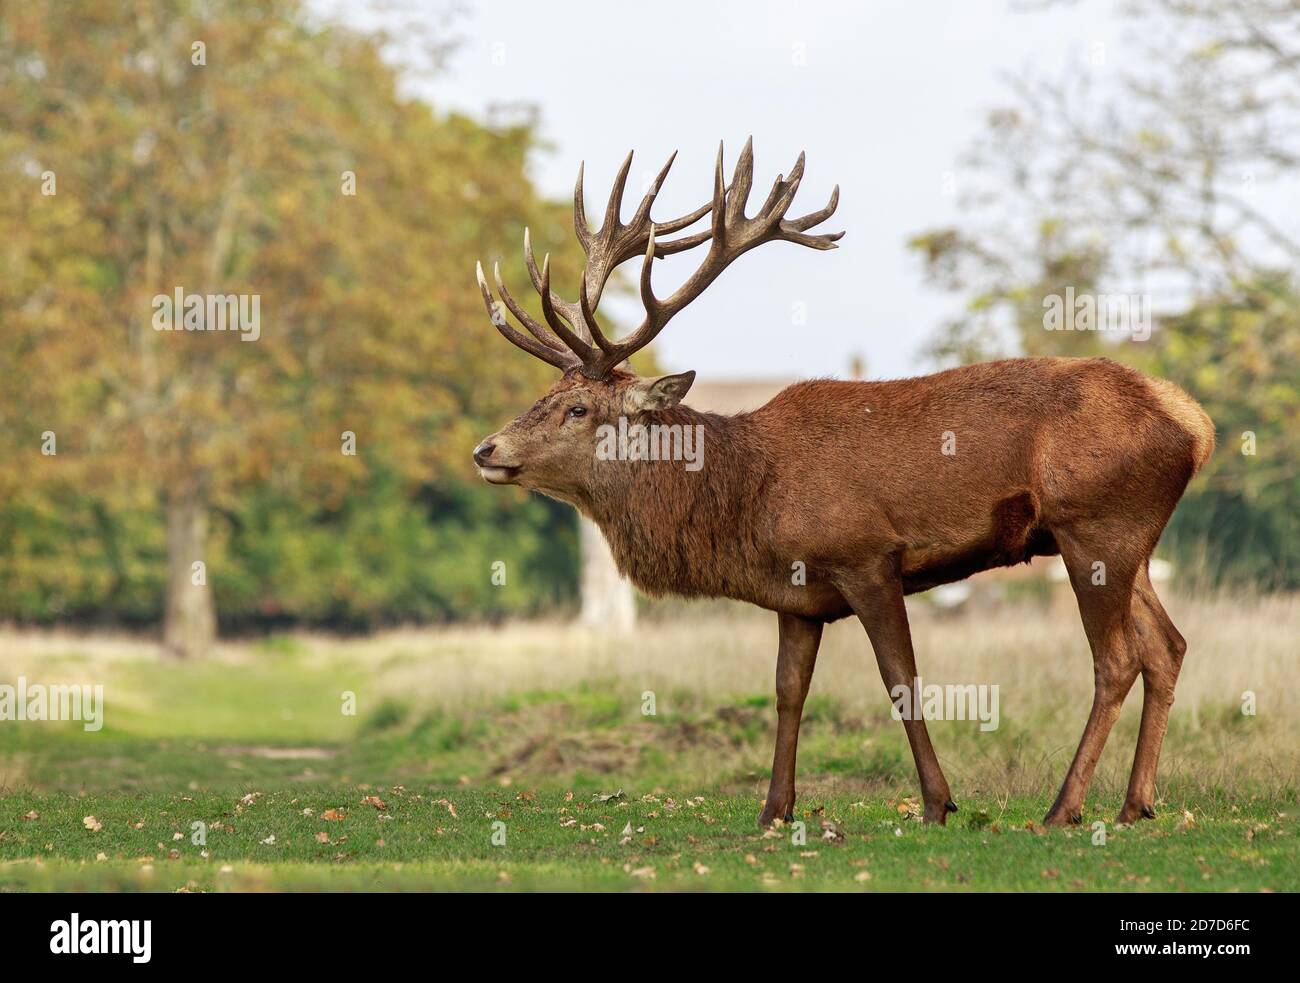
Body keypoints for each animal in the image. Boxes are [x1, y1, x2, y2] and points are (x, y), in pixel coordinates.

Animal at [472, 140, 1215, 828]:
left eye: (578, 408)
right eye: (546, 394)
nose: (486, 449)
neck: (747, 496)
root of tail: (1196, 424)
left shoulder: (867, 555)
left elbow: (901, 679)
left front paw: (938, 803)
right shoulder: (798, 597)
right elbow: (787, 690)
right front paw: (775, 808)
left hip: (1095, 526)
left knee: (1117, 658)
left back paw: (1065, 807)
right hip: (1124, 541)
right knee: (1168, 647)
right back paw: (1136, 805)